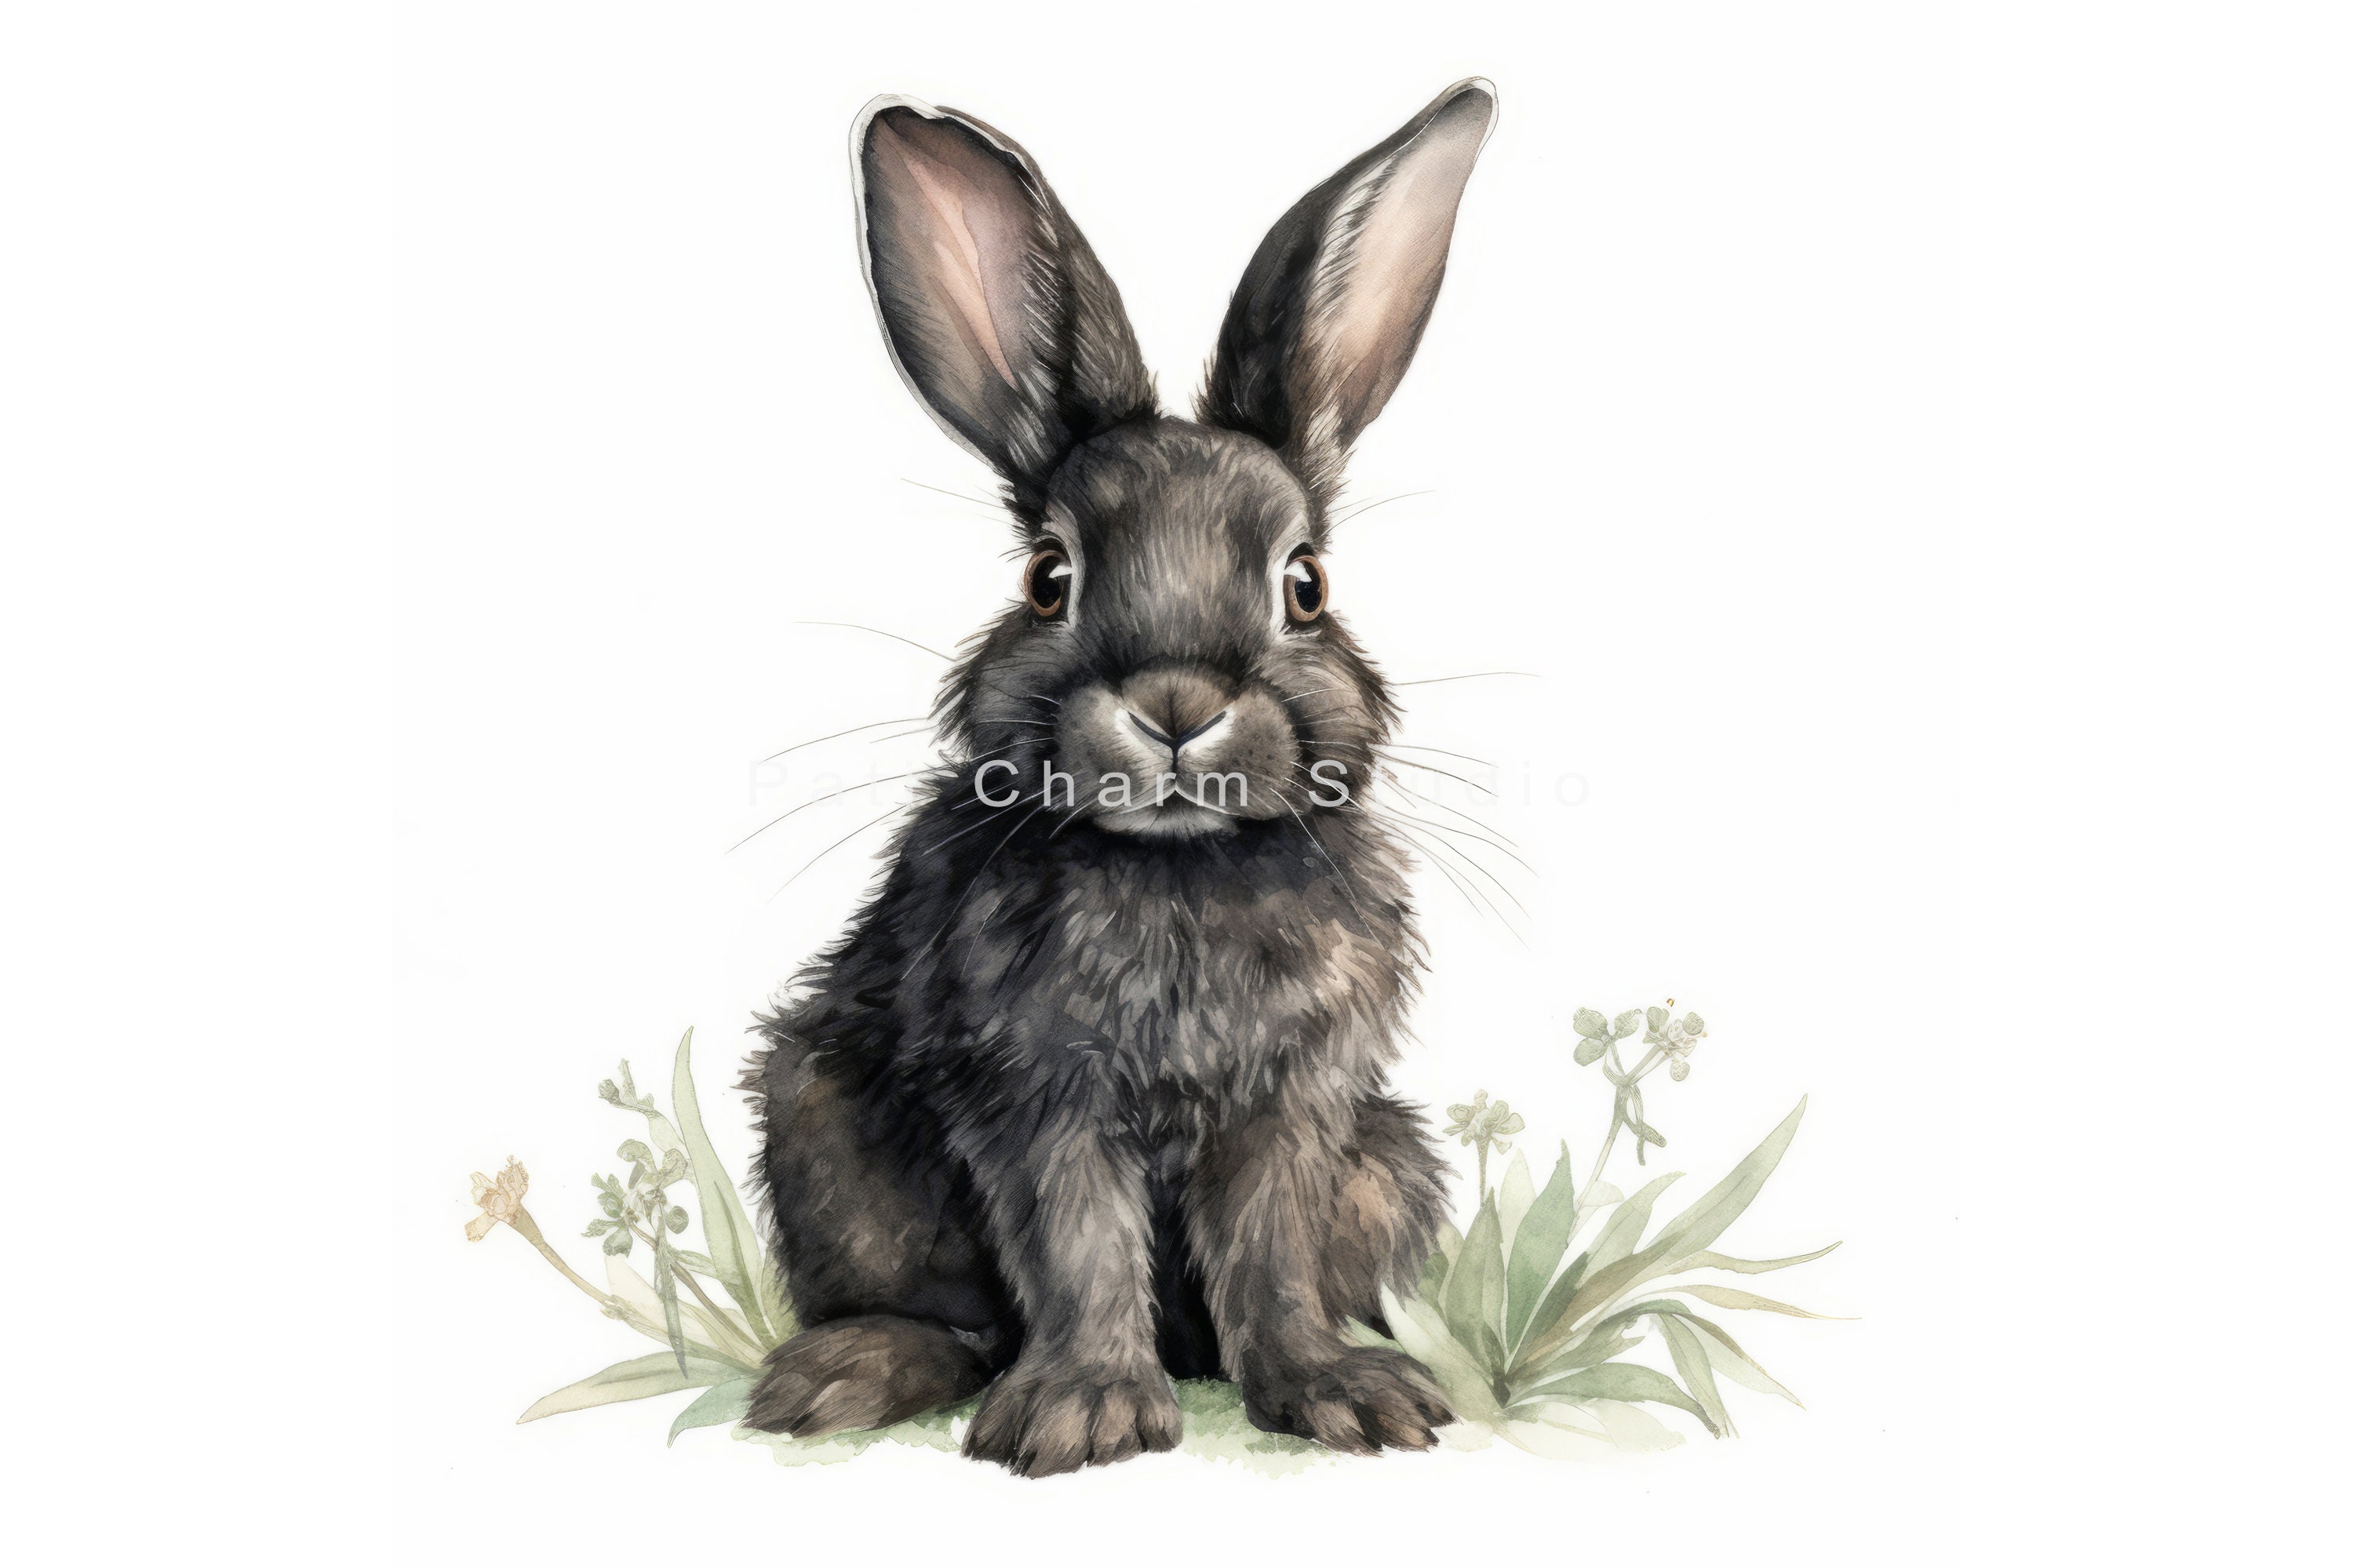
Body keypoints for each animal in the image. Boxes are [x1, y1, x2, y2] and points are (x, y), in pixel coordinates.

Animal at [742, 78, 1497, 1477]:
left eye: (1304, 583)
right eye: (1049, 578)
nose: (1177, 708)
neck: (1179, 866)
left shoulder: (1294, 1106)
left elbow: (1269, 1252)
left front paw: (1339, 1395)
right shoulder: (1034, 1091)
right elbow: (1077, 1242)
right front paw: (1082, 1412)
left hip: (1391, 1158)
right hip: (819, 1127)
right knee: (947, 1317)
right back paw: (839, 1374)